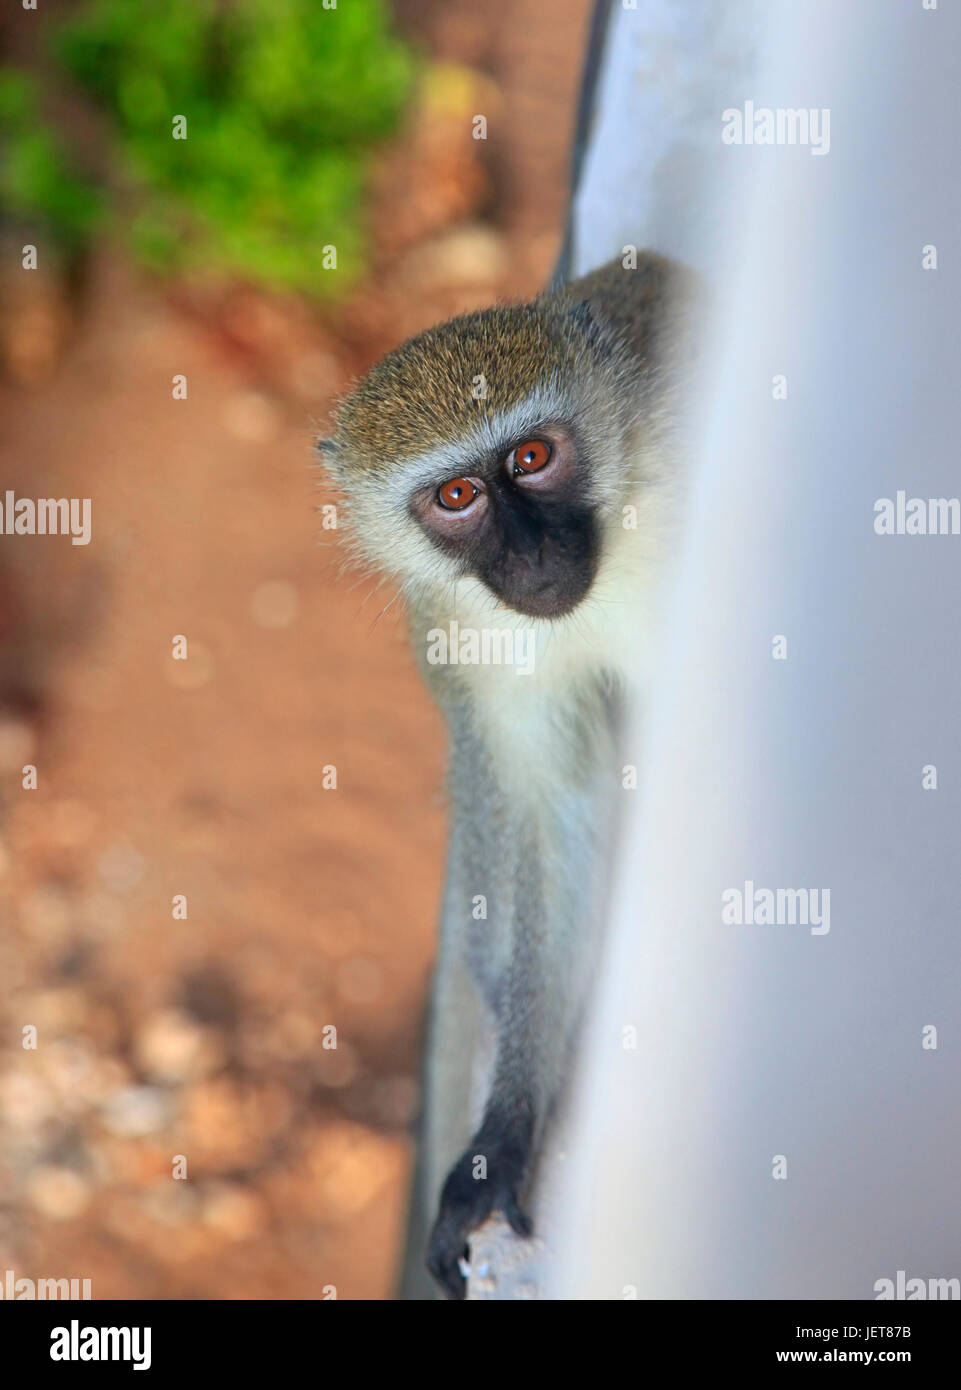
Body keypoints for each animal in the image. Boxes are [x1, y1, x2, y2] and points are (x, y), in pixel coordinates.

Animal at [320, 252, 695, 1298]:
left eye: (530, 458)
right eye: (456, 498)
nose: (529, 552)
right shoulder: (461, 633)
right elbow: (544, 812)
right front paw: (504, 1135)